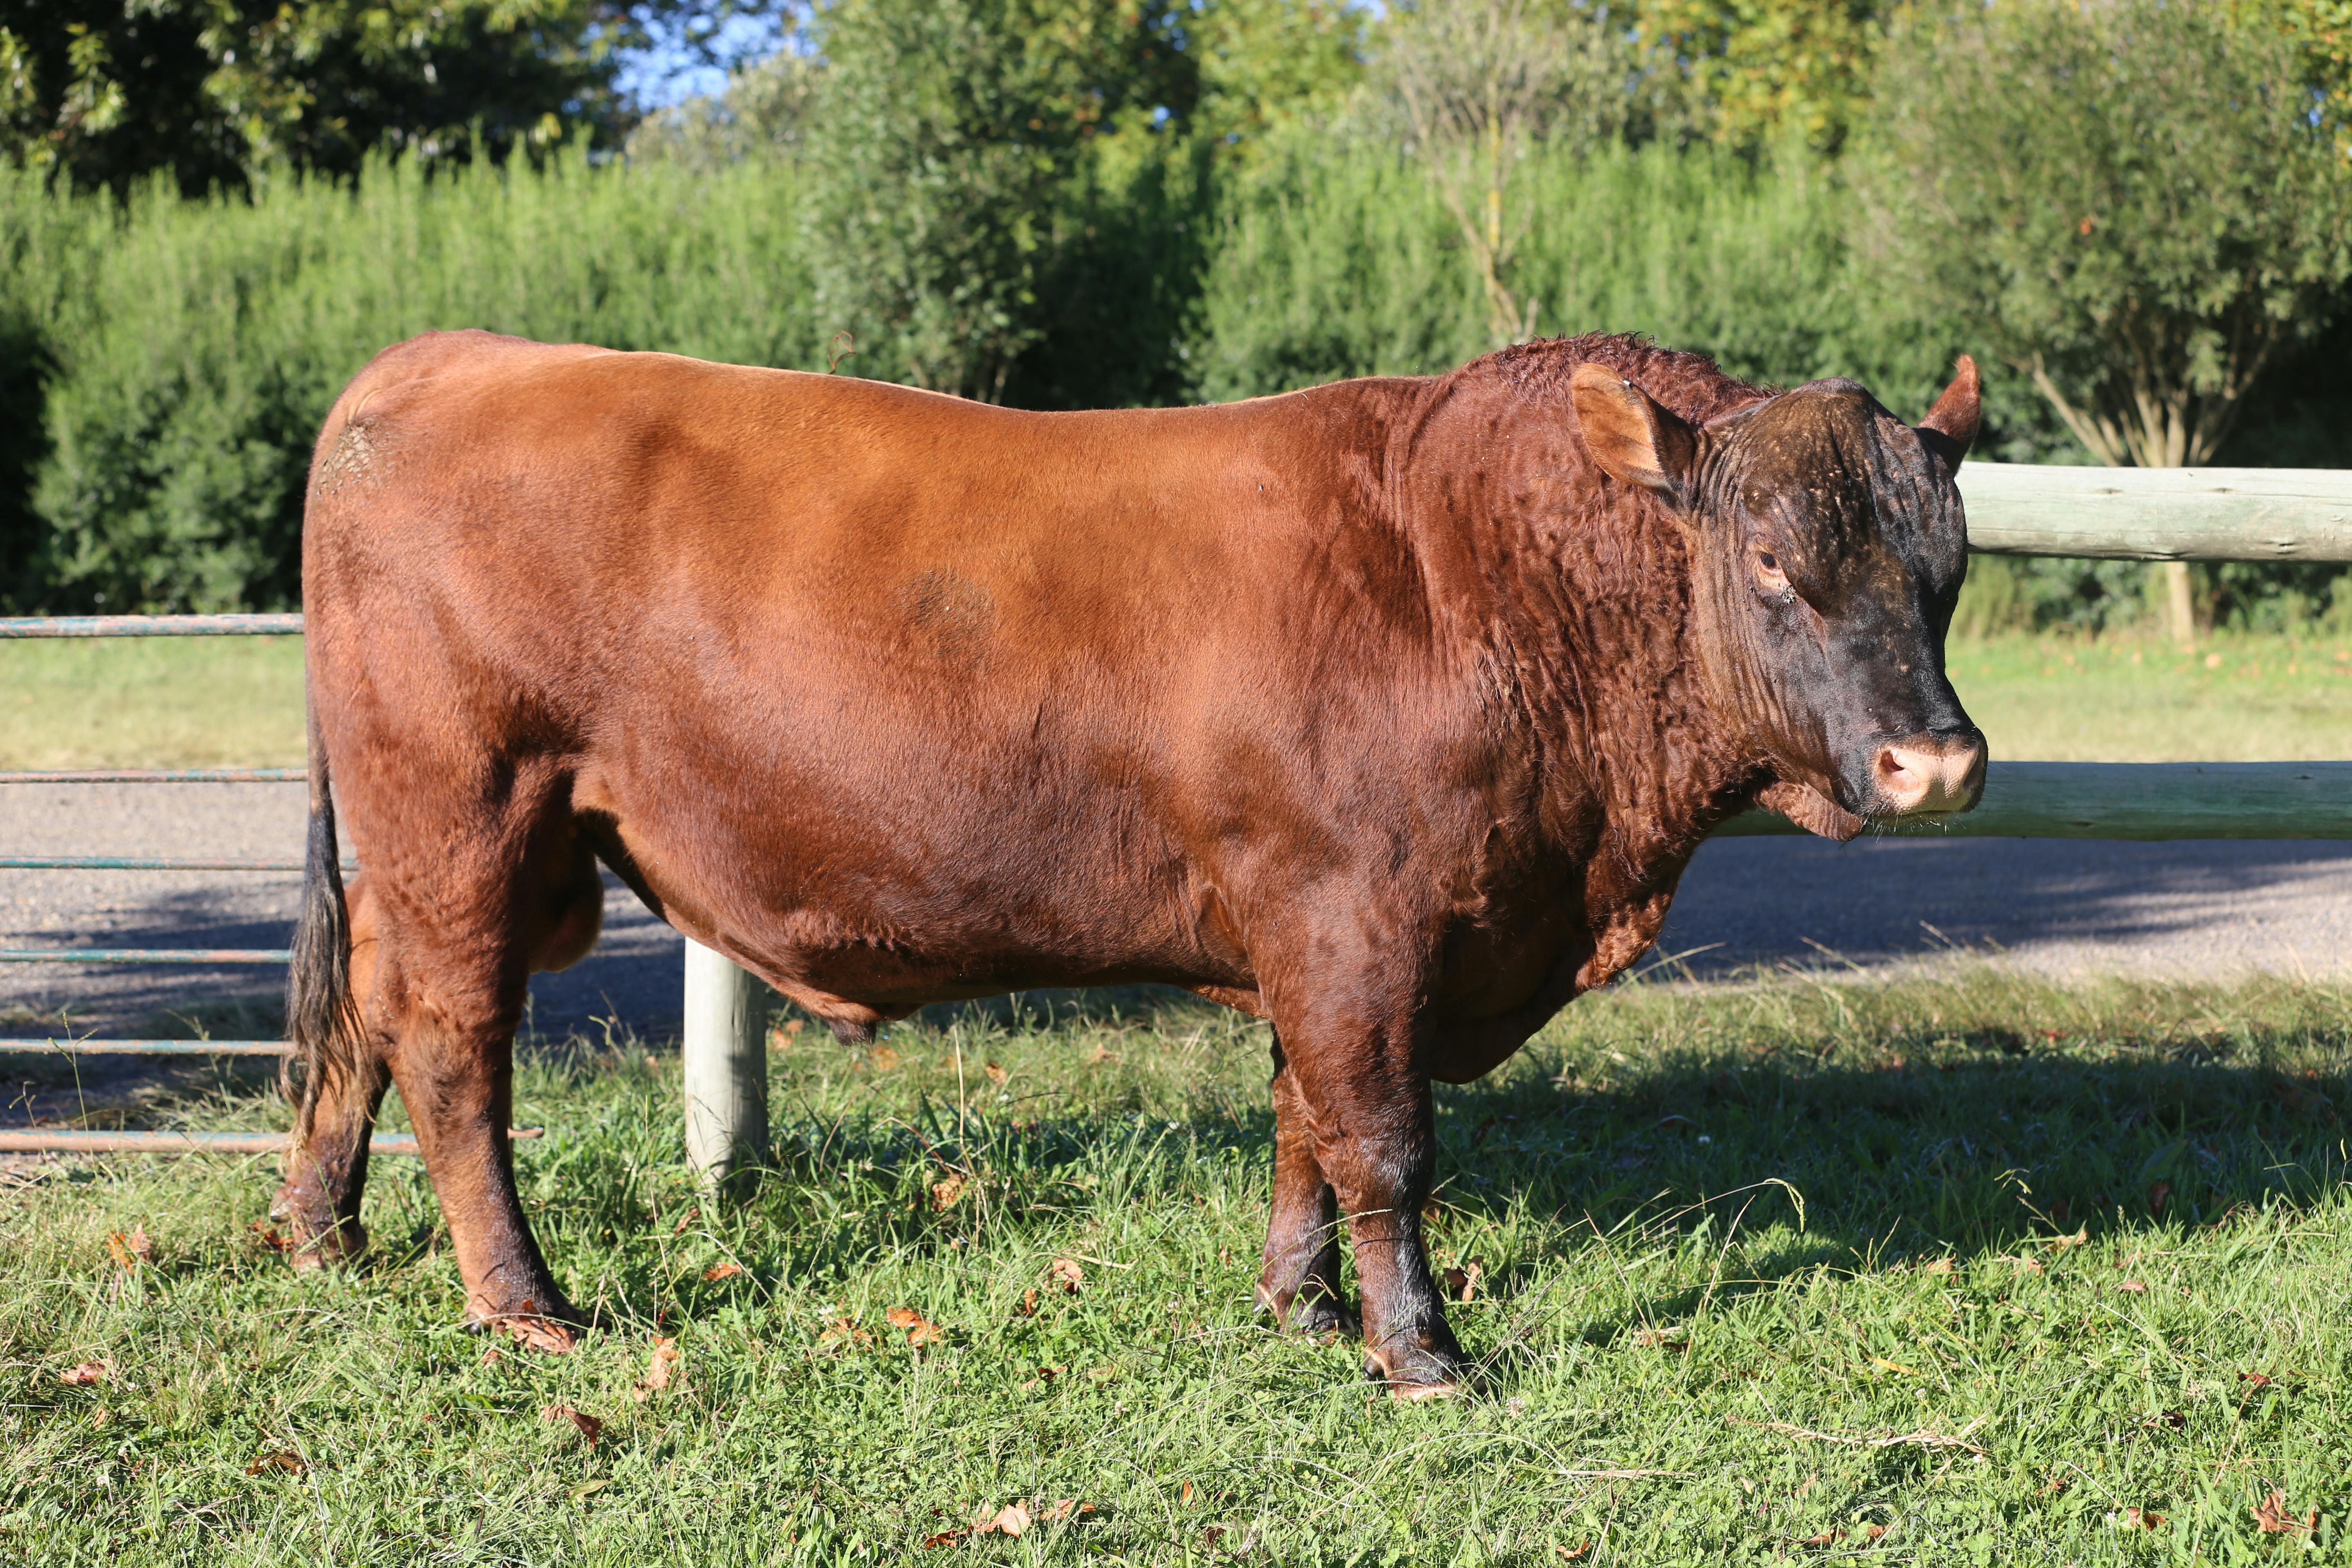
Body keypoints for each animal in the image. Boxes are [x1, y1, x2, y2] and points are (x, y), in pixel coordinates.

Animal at [274, 329, 1985, 1398]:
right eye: (1771, 561)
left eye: (1948, 567)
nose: (1942, 762)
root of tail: (454, 357)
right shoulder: (1353, 918)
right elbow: (1382, 1142)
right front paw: (1420, 1352)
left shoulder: (1321, 937)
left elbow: (1304, 1121)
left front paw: (1300, 1307)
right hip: (466, 815)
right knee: (452, 1046)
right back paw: (521, 1303)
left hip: (450, 847)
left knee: (361, 1016)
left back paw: (320, 1235)